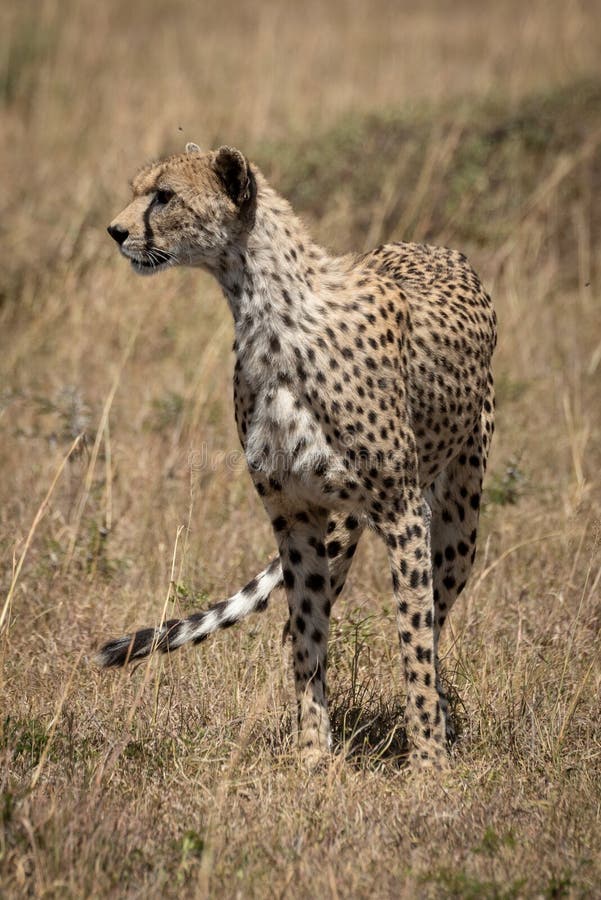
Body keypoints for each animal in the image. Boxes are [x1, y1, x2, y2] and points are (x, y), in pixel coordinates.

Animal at [99, 142, 496, 772]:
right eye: (140, 189)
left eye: (164, 196)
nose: (115, 231)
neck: (263, 310)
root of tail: (442, 248)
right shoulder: (295, 512)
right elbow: (307, 633)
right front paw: (312, 756)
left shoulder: (404, 510)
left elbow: (414, 637)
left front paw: (430, 764)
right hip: (343, 525)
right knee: (297, 623)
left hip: (458, 520)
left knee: (437, 610)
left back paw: (444, 722)